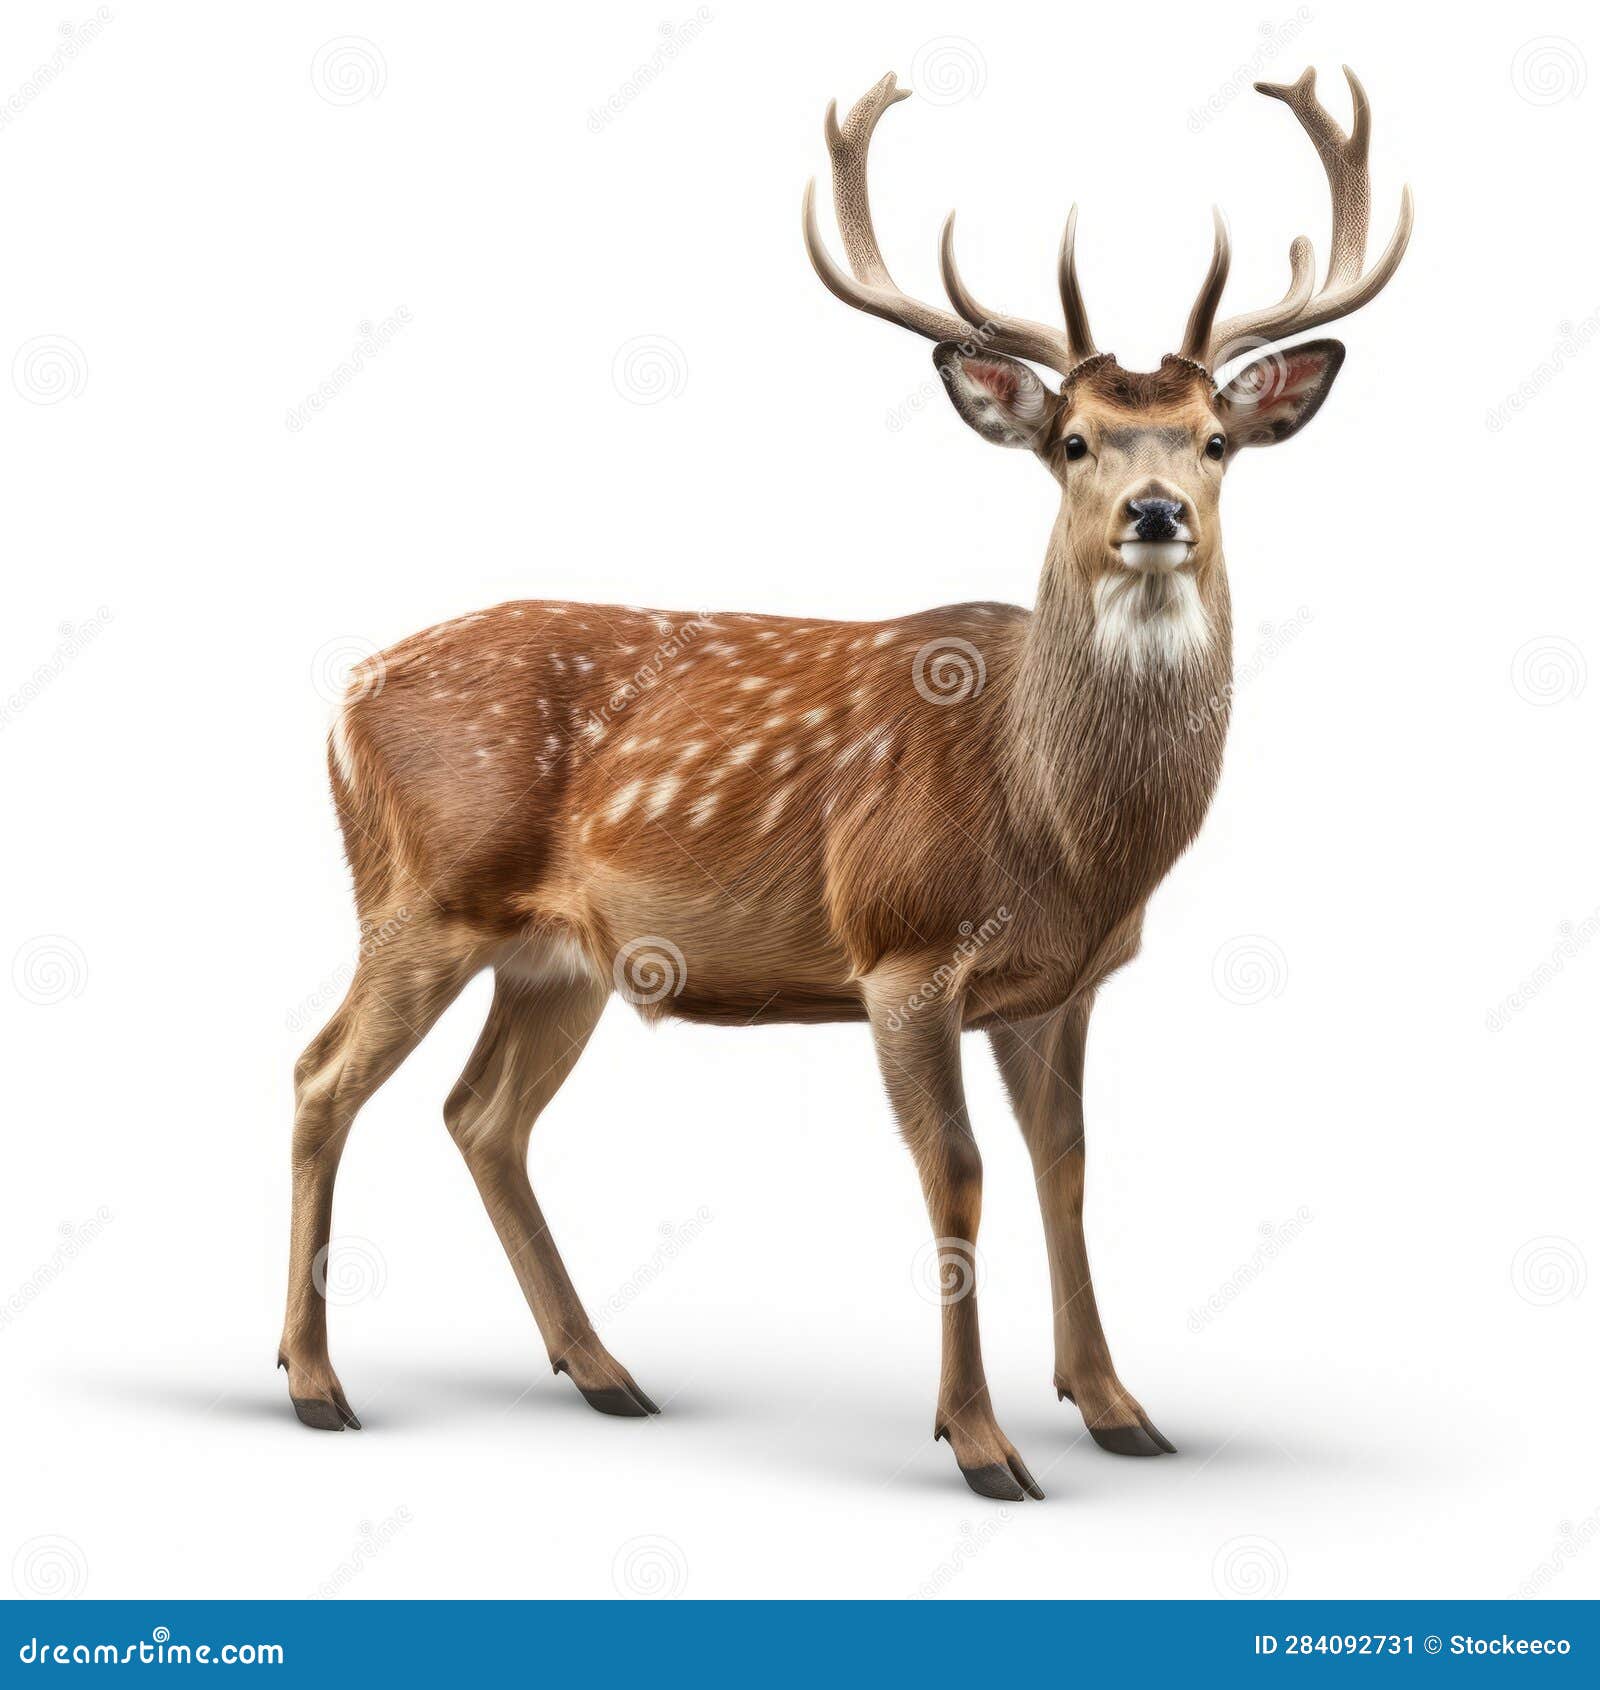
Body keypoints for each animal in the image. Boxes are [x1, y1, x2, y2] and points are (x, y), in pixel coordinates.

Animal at [280, 65, 1411, 1501]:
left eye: (1217, 439)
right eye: (1074, 440)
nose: (1155, 512)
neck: (1064, 835)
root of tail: (344, 695)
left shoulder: (1062, 985)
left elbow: (1067, 1167)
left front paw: (1116, 1406)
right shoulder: (903, 948)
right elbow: (959, 1174)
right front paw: (982, 1443)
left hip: (559, 954)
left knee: (481, 1112)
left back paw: (604, 1372)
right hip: (422, 894)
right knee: (322, 1076)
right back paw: (317, 1383)